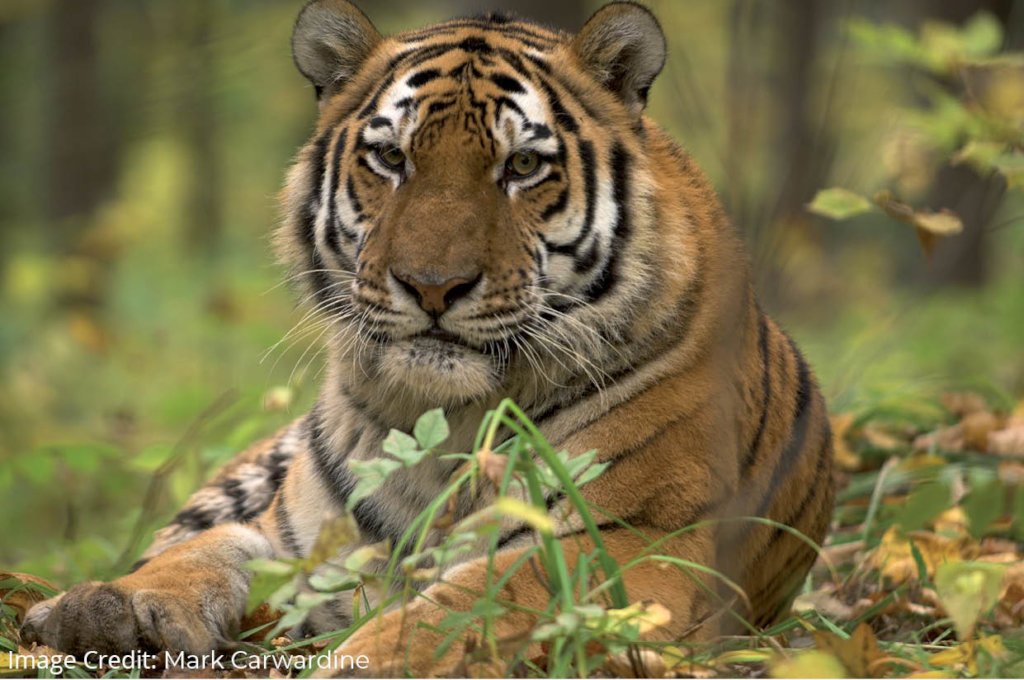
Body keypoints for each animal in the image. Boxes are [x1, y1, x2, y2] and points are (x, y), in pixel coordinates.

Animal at [23, 0, 834, 675]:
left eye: (523, 164)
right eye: (391, 158)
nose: (433, 286)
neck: (446, 419)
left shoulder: (641, 545)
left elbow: (475, 603)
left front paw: (360, 660)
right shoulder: (296, 533)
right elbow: (204, 553)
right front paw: (108, 607)